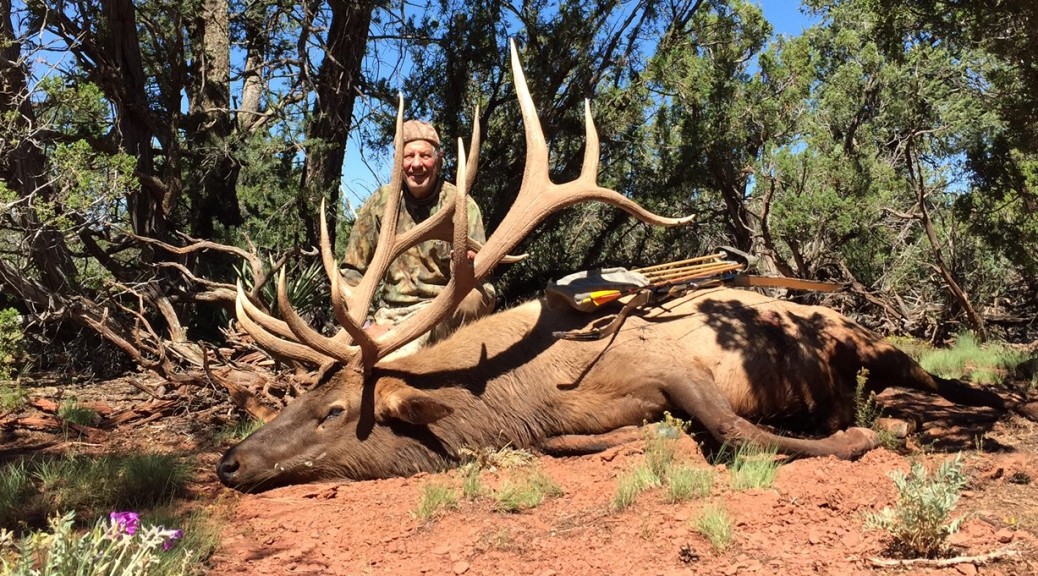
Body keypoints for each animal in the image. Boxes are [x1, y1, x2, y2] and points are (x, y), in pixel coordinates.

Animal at [217, 42, 1013, 491]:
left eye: (333, 412)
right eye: (303, 396)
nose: (229, 461)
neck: (528, 392)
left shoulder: (678, 367)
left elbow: (741, 434)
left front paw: (856, 437)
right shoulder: (566, 421)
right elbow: (601, 438)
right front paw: (647, 435)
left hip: (867, 338)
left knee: (940, 378)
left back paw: (984, 408)